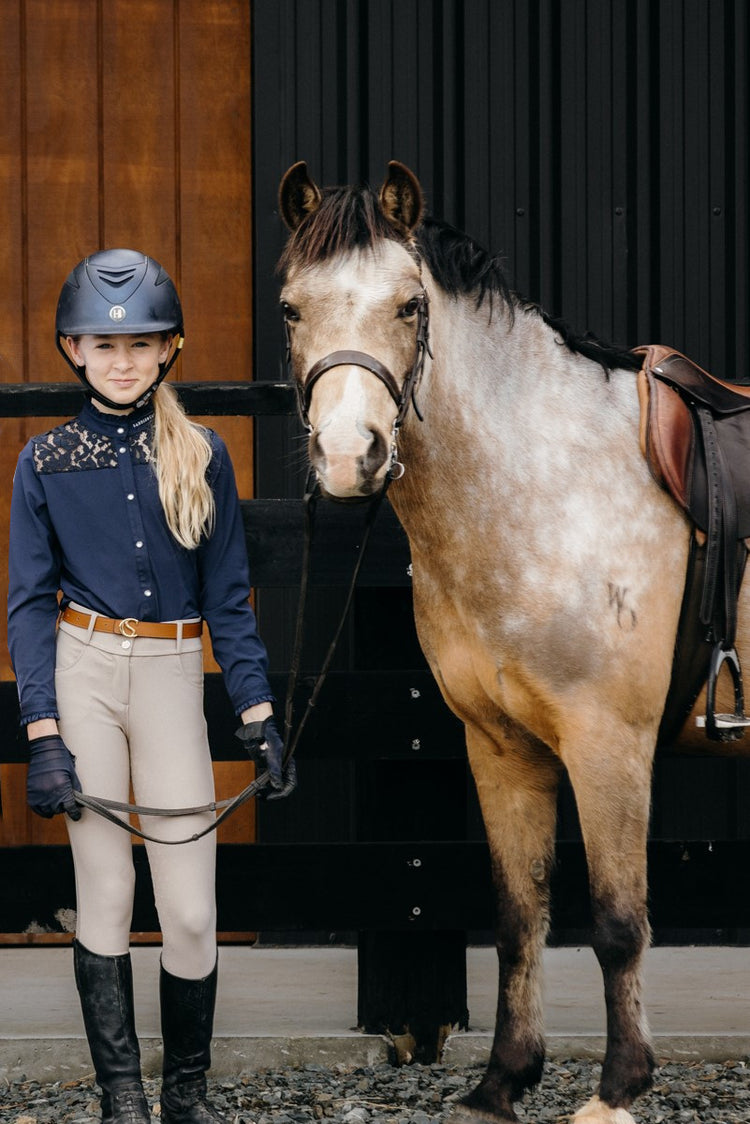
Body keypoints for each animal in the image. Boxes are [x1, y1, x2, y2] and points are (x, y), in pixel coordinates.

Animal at [275, 160, 749, 1124]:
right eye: (292, 310)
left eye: (409, 305)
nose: (349, 455)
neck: (544, 479)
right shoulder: (500, 747)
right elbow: (516, 913)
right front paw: (503, 1082)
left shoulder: (609, 743)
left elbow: (616, 921)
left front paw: (617, 1090)